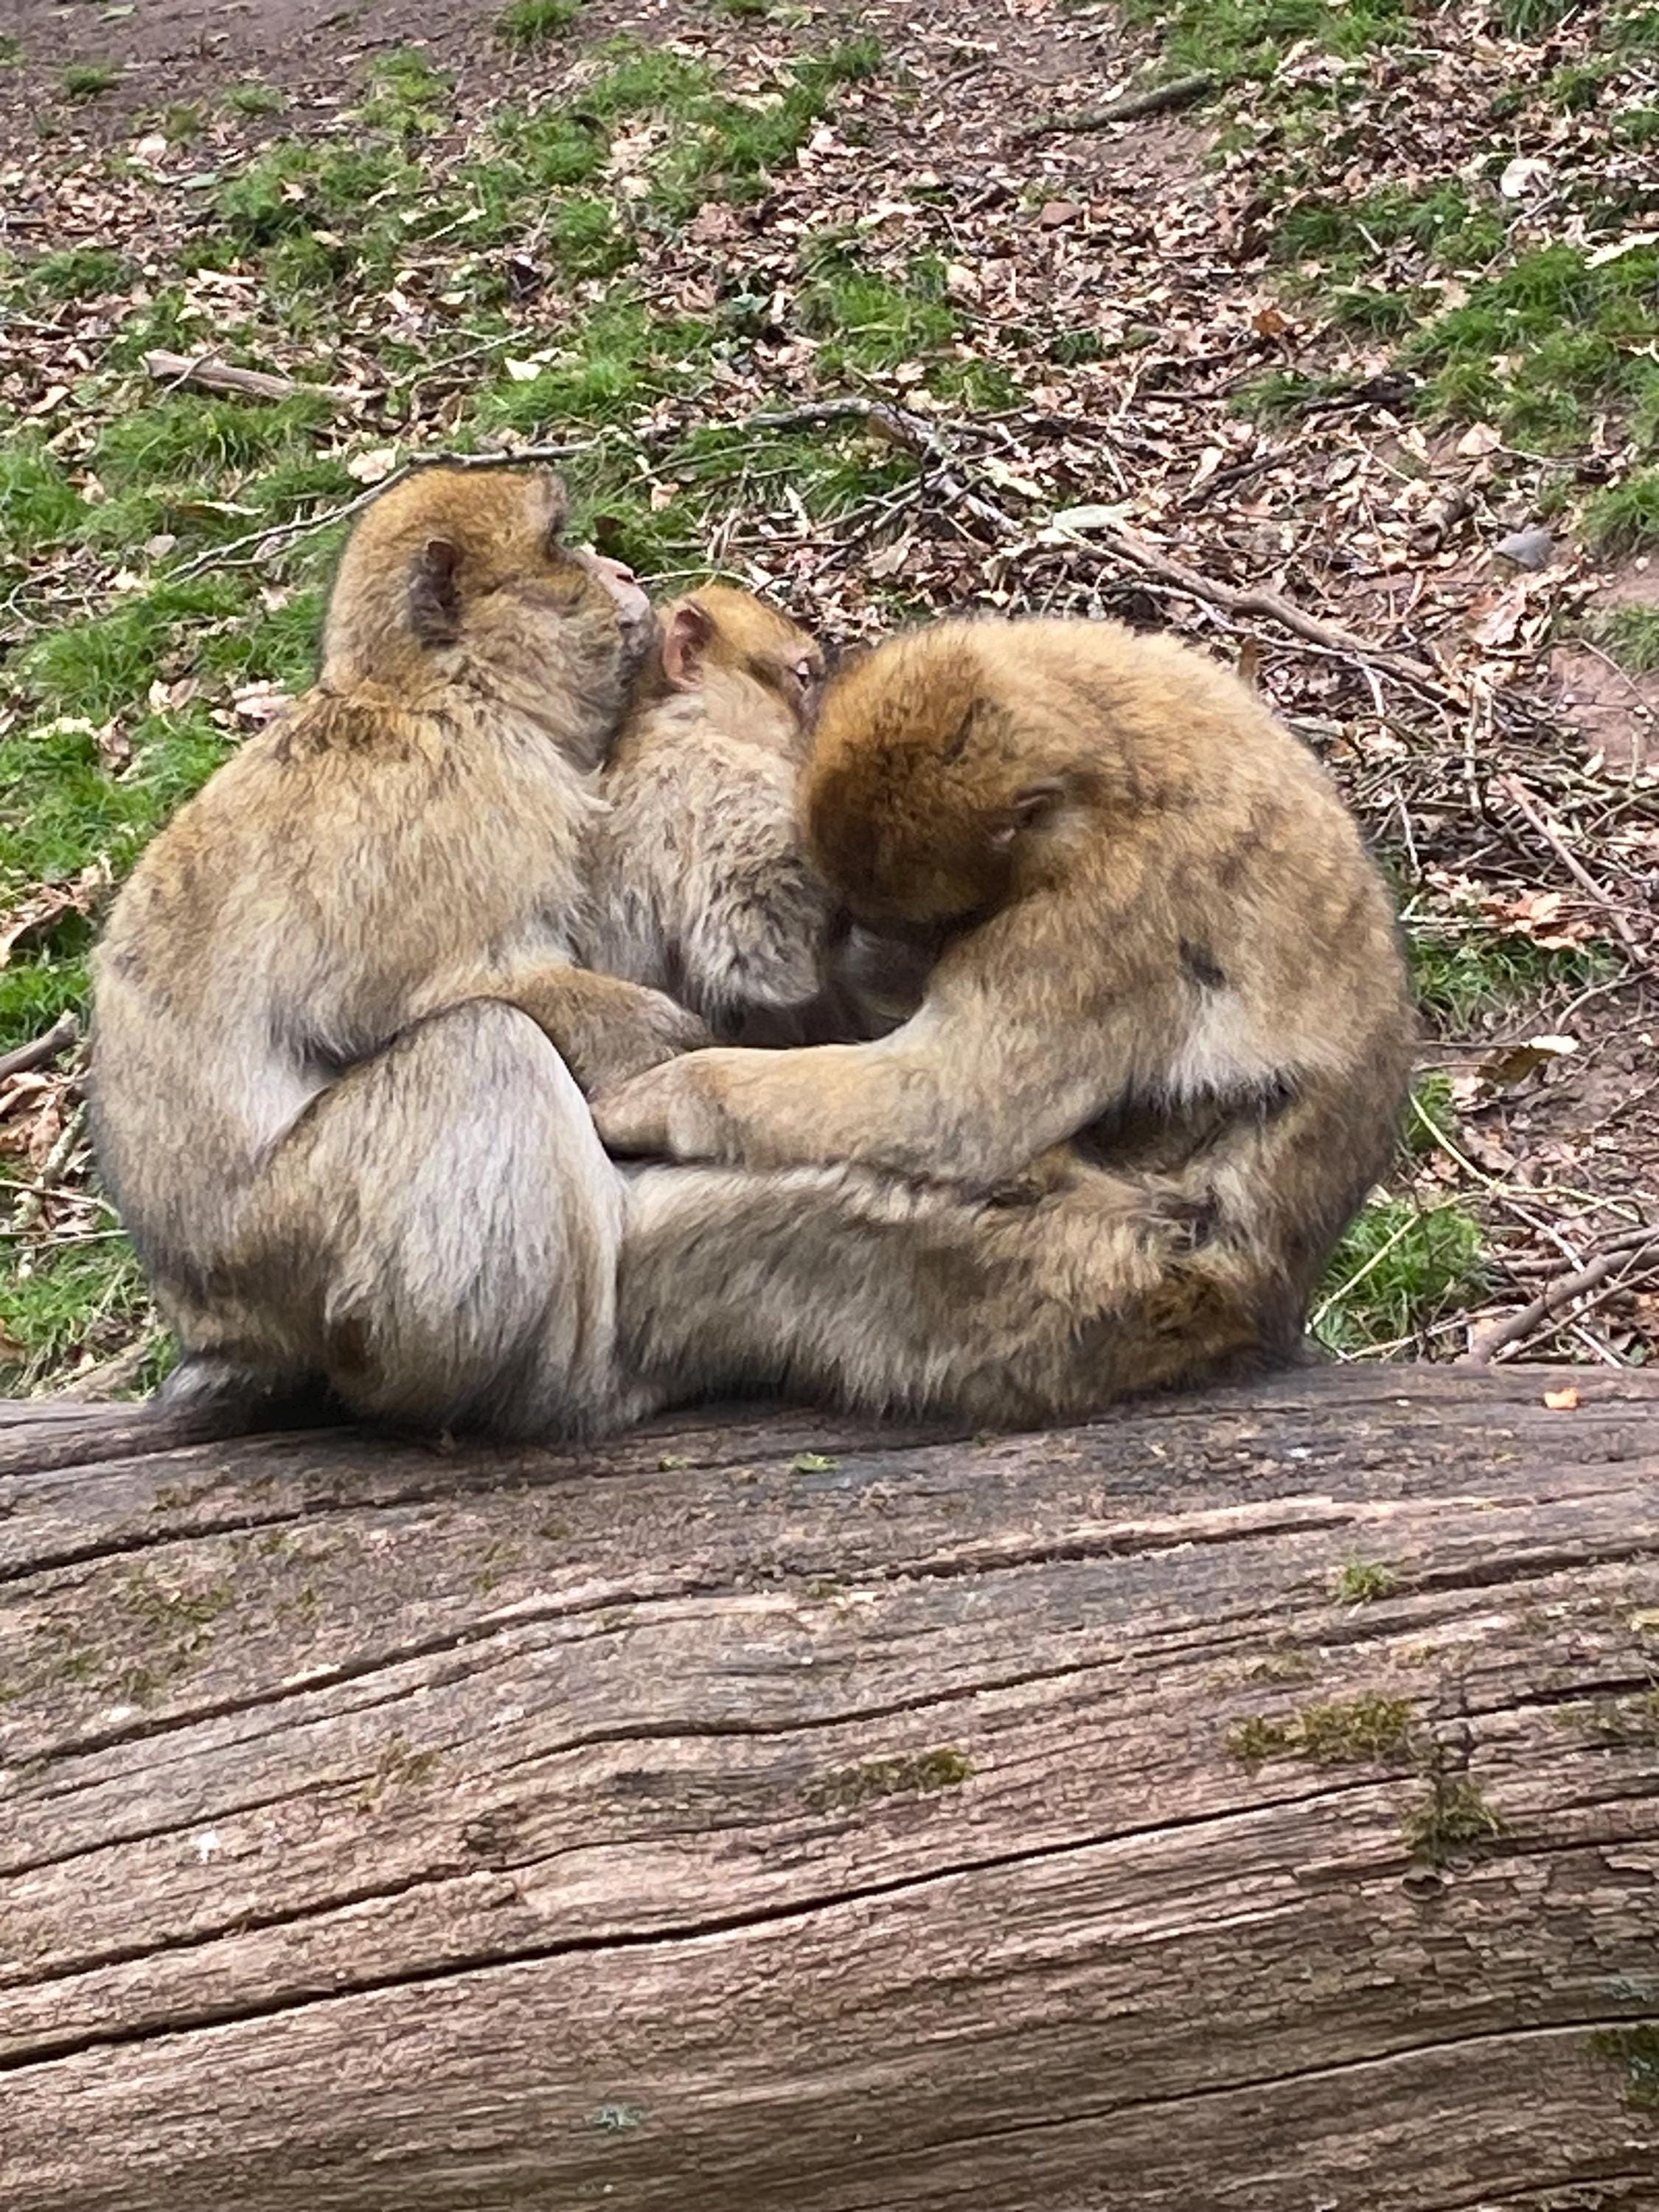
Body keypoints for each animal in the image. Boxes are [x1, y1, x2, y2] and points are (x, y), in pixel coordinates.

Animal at [90, 463, 710, 1438]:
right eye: (560, 543)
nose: (619, 570)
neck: (442, 692)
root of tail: (220, 1325)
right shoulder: (469, 801)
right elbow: (432, 993)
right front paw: (662, 1035)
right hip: (312, 1248)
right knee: (483, 1048)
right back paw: (575, 1391)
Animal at [592, 615, 1418, 1413]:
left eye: (936, 920)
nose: (895, 953)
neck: (1110, 763)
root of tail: (1254, 1309)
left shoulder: (1096, 919)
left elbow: (953, 1106)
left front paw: (659, 1097)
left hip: (1074, 1284)